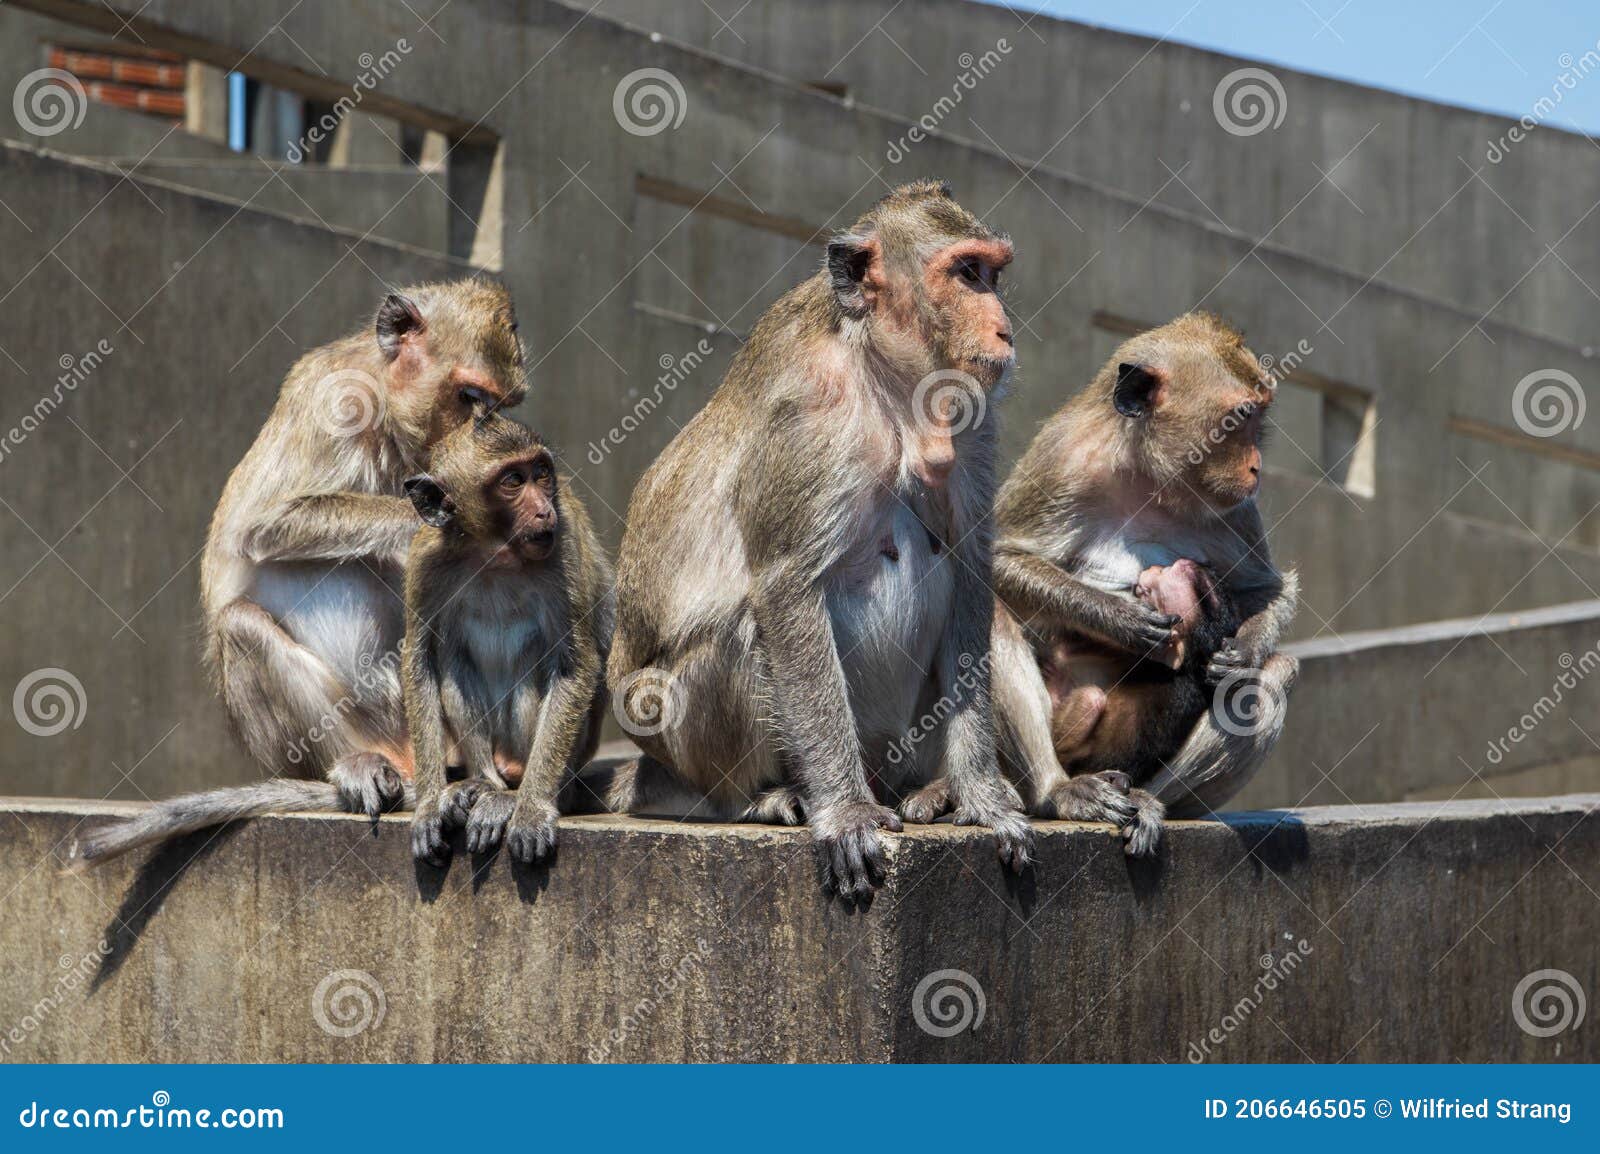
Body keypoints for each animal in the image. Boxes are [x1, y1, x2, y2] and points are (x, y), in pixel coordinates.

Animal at [201, 278, 527, 817]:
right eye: (469, 398)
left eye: (497, 408)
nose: (480, 440)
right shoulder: (335, 398)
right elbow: (260, 523)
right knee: (240, 625)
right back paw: (357, 765)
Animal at [404, 410, 613, 866]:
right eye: (513, 481)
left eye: (541, 473)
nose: (543, 511)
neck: (494, 552)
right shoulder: (424, 559)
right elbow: (419, 659)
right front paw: (427, 805)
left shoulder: (564, 545)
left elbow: (575, 665)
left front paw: (532, 809)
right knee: (451, 658)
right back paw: (482, 785)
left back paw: (513, 796)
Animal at [605, 180, 1032, 899]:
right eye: (967, 274)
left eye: (993, 273)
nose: (1003, 326)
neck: (885, 379)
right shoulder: (808, 418)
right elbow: (785, 587)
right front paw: (845, 812)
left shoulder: (971, 419)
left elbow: (971, 570)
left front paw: (982, 793)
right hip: (671, 730)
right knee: (738, 632)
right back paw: (757, 799)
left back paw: (932, 789)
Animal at [988, 311, 1299, 855]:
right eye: (1239, 418)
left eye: (1258, 417)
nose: (1256, 468)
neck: (1147, 472)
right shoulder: (1063, 459)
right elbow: (1002, 560)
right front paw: (1119, 618)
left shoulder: (1235, 508)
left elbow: (1263, 590)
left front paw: (1243, 650)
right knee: (995, 616)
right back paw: (1054, 792)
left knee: (1270, 676)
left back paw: (1151, 799)